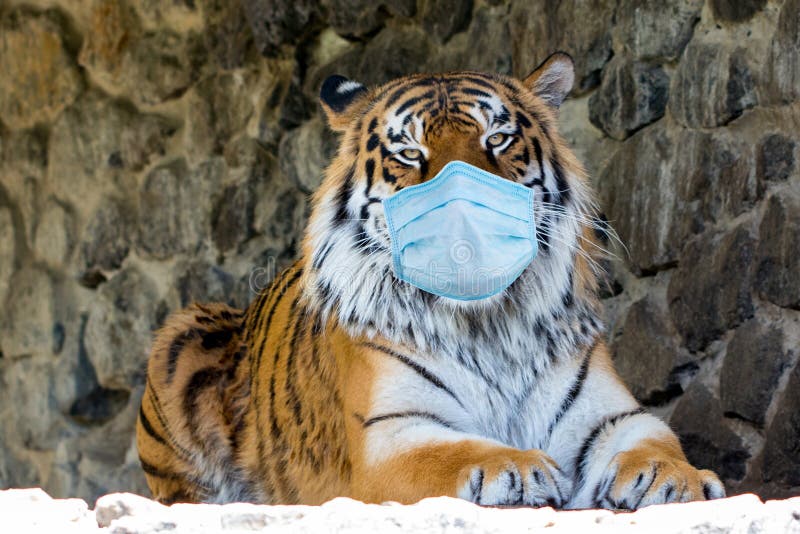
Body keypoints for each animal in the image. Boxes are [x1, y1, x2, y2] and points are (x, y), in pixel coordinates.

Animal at [136, 52, 725, 509]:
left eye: (498, 137)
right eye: (409, 152)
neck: (487, 320)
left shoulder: (615, 417)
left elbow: (659, 442)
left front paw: (677, 478)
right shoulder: (391, 433)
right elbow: (454, 452)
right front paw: (517, 468)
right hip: (184, 331)